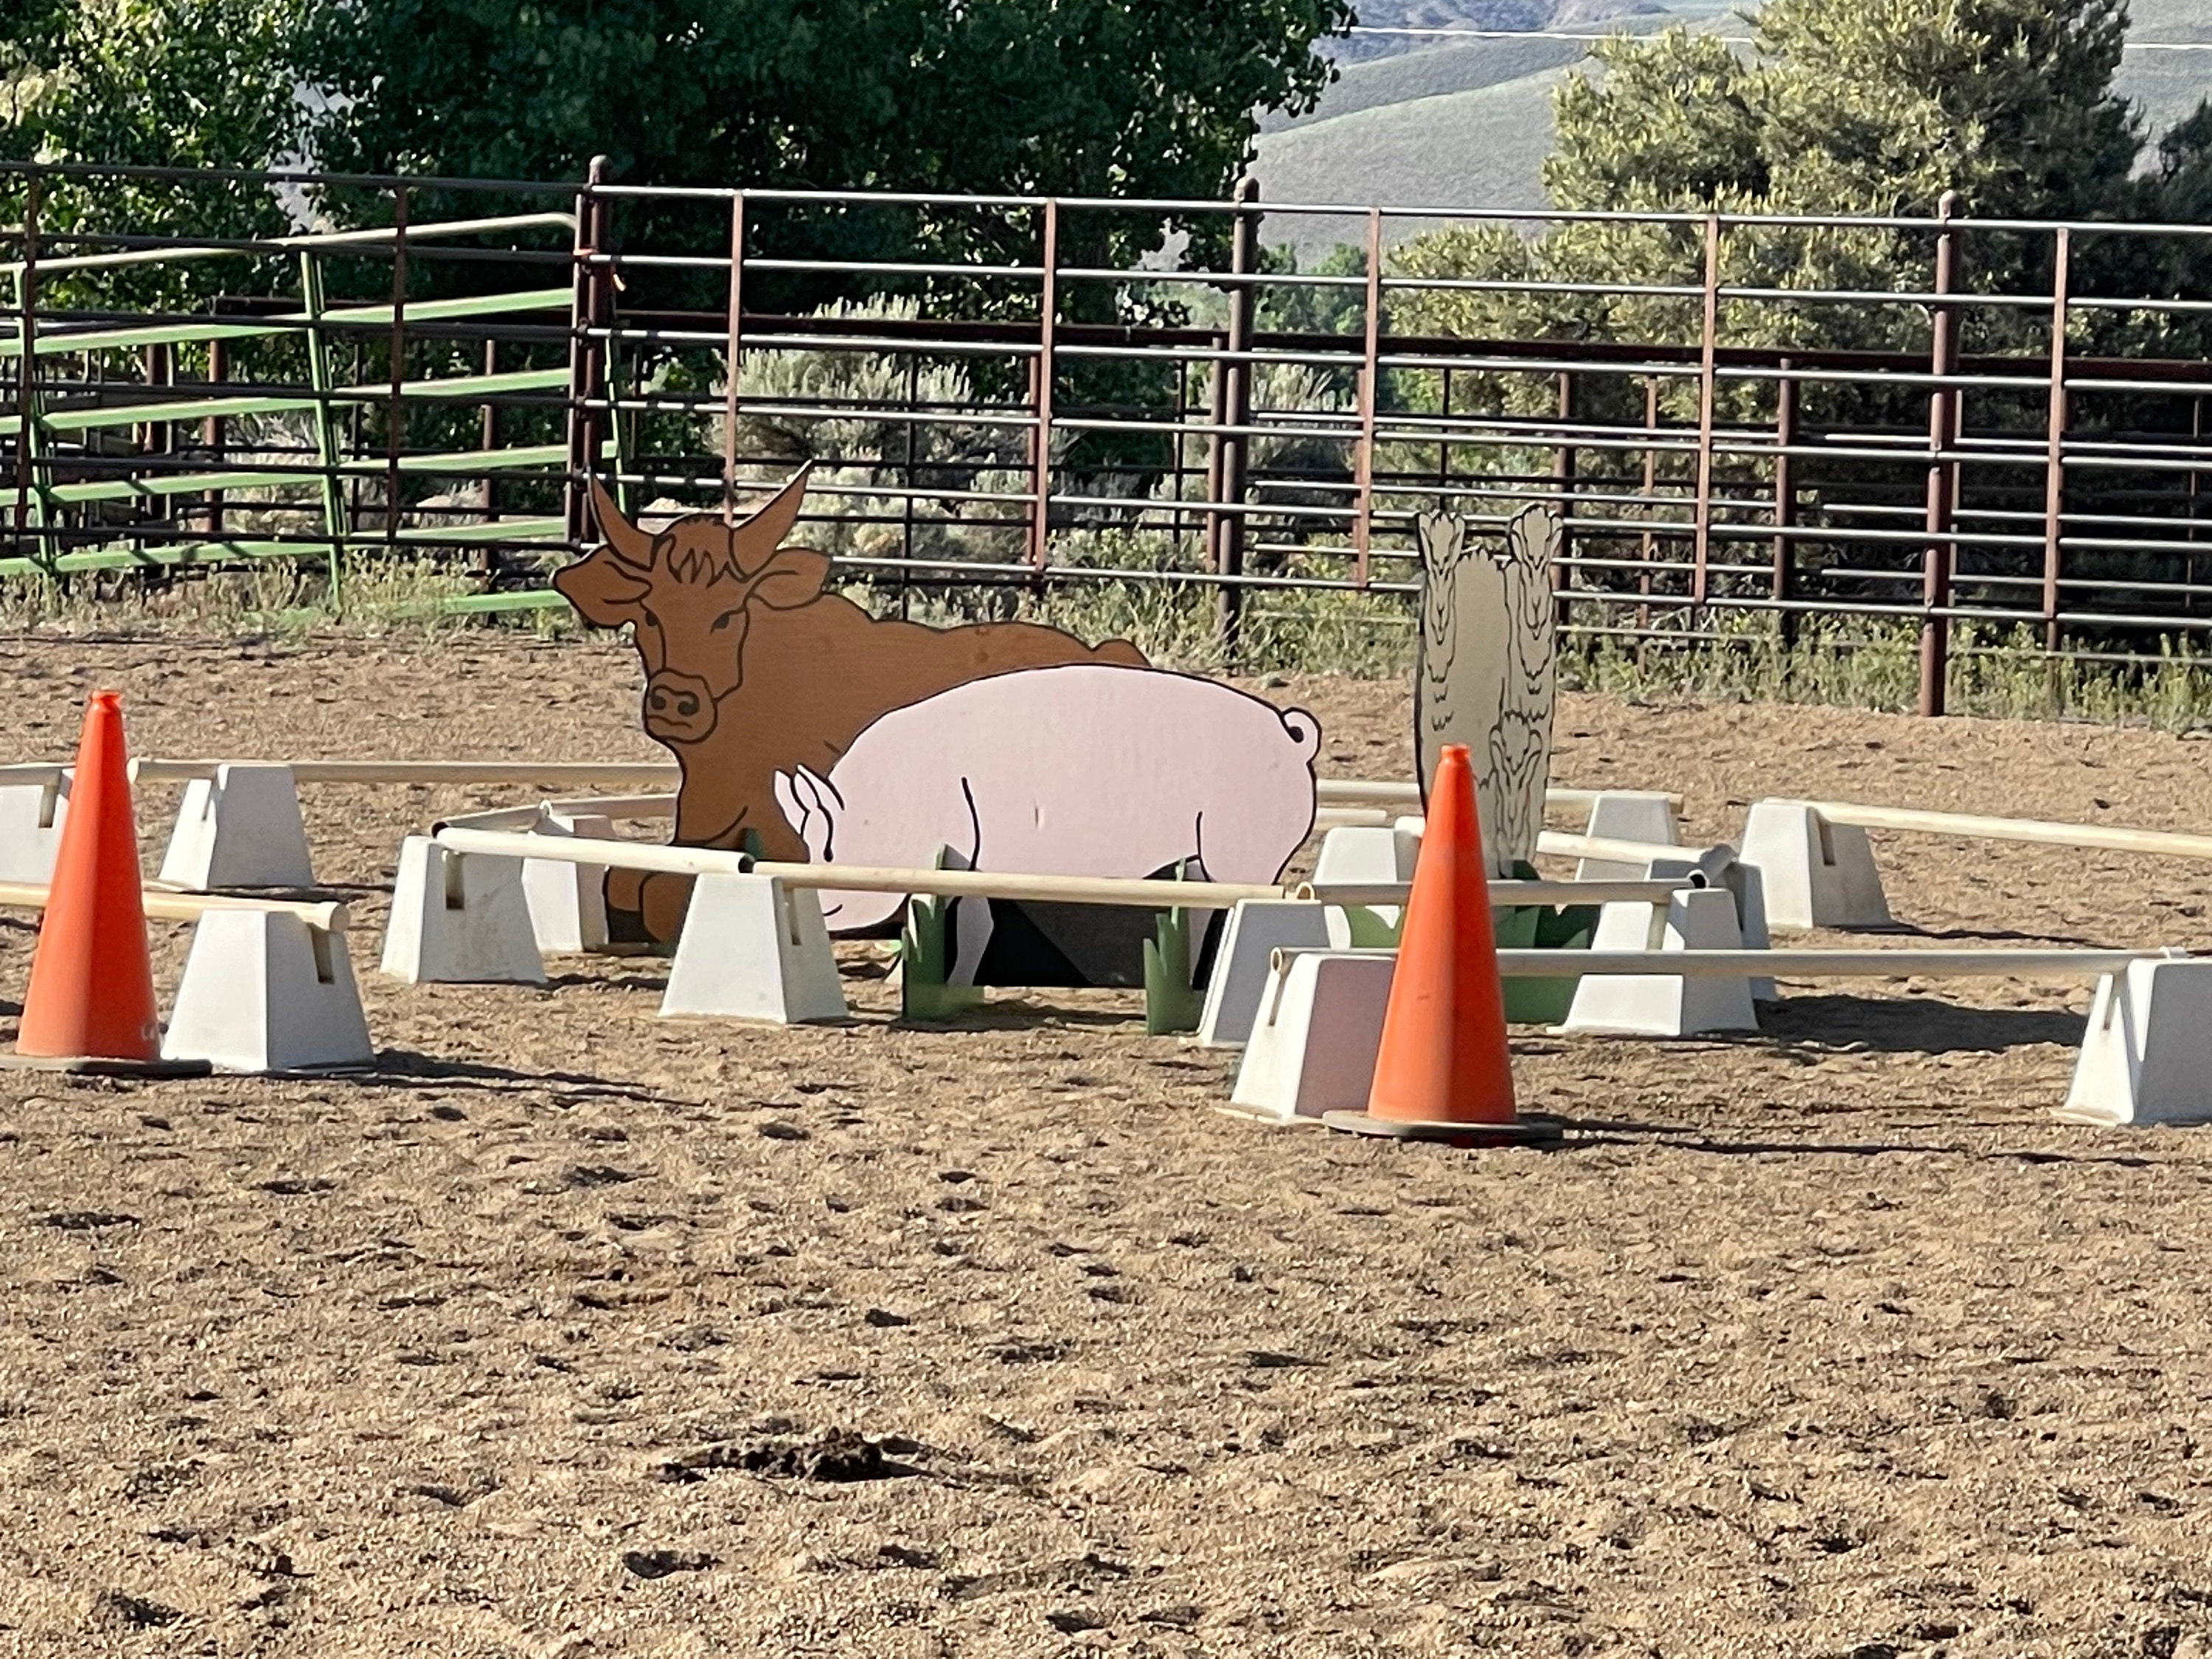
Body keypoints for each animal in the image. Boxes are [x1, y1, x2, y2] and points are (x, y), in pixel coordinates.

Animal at [772, 664, 1322, 955]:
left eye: (831, 850)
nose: (817, 906)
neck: (890, 800)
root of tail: (1291, 737)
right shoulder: (975, 864)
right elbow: (970, 921)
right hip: (1209, 851)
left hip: (1244, 840)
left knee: (1238, 897)